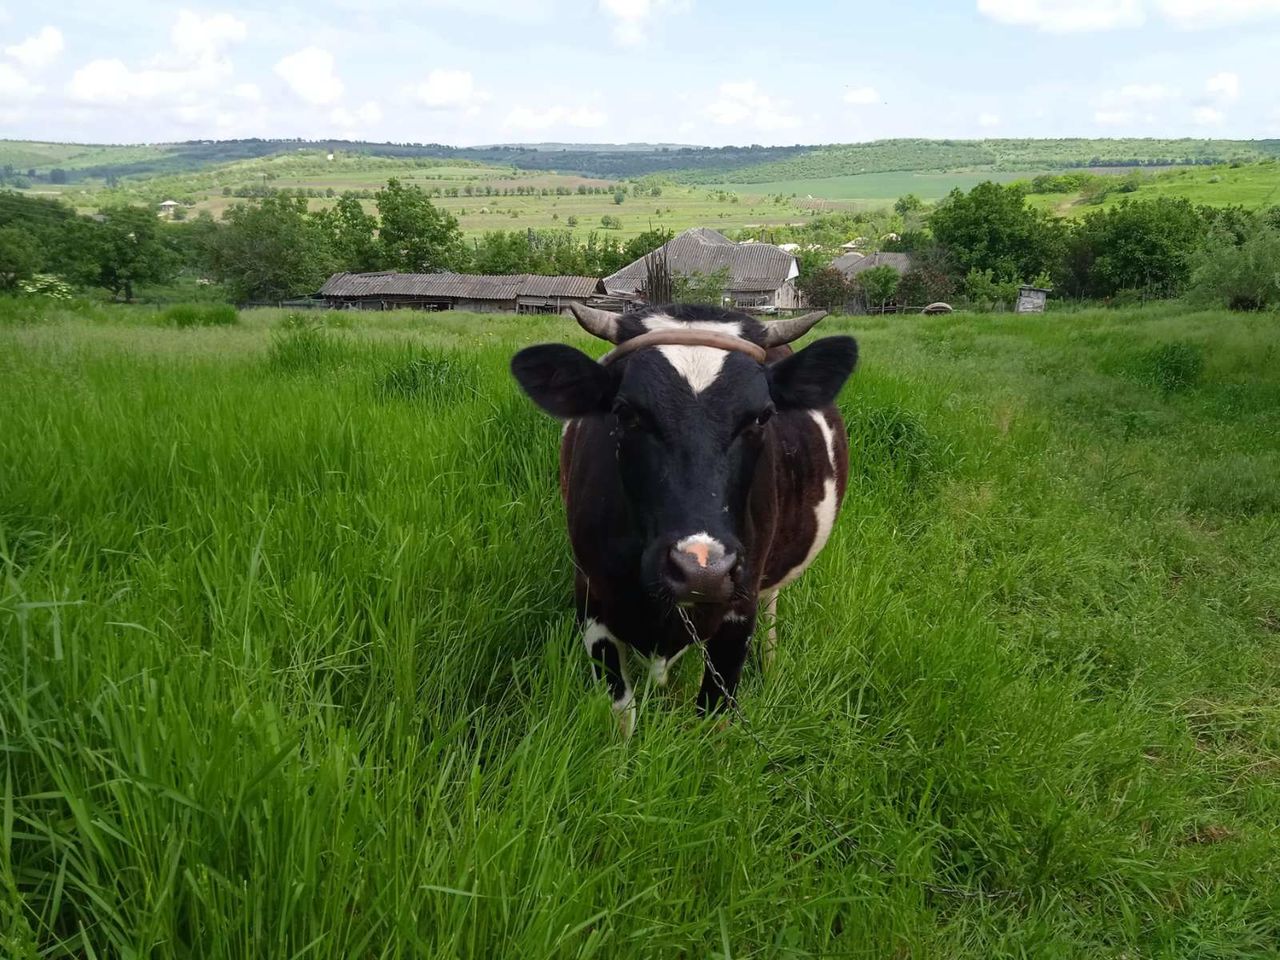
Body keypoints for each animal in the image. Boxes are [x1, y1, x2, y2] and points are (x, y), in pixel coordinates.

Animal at [510, 303, 857, 735]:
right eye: (625, 412)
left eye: (763, 416)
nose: (701, 571)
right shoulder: (591, 596)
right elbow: (622, 712)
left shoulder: (738, 612)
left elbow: (715, 715)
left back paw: (771, 661)